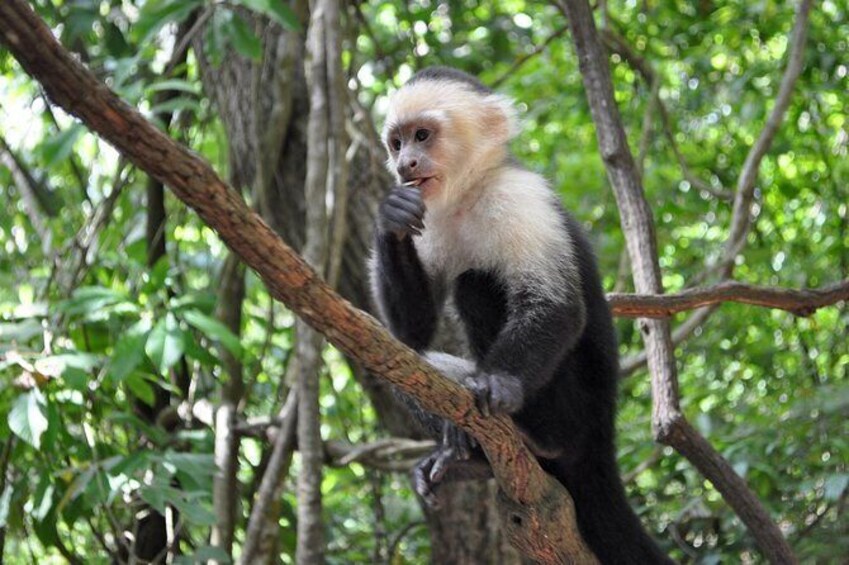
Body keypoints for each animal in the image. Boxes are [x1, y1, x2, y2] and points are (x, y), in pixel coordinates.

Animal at [370, 66, 671, 564]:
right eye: (396, 142)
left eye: (422, 136)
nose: (404, 165)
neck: (468, 193)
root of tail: (602, 439)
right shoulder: (429, 217)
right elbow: (409, 334)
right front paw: (390, 217)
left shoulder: (520, 197)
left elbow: (555, 304)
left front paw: (499, 383)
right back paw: (465, 456)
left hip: (574, 415)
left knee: (475, 283)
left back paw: (536, 438)